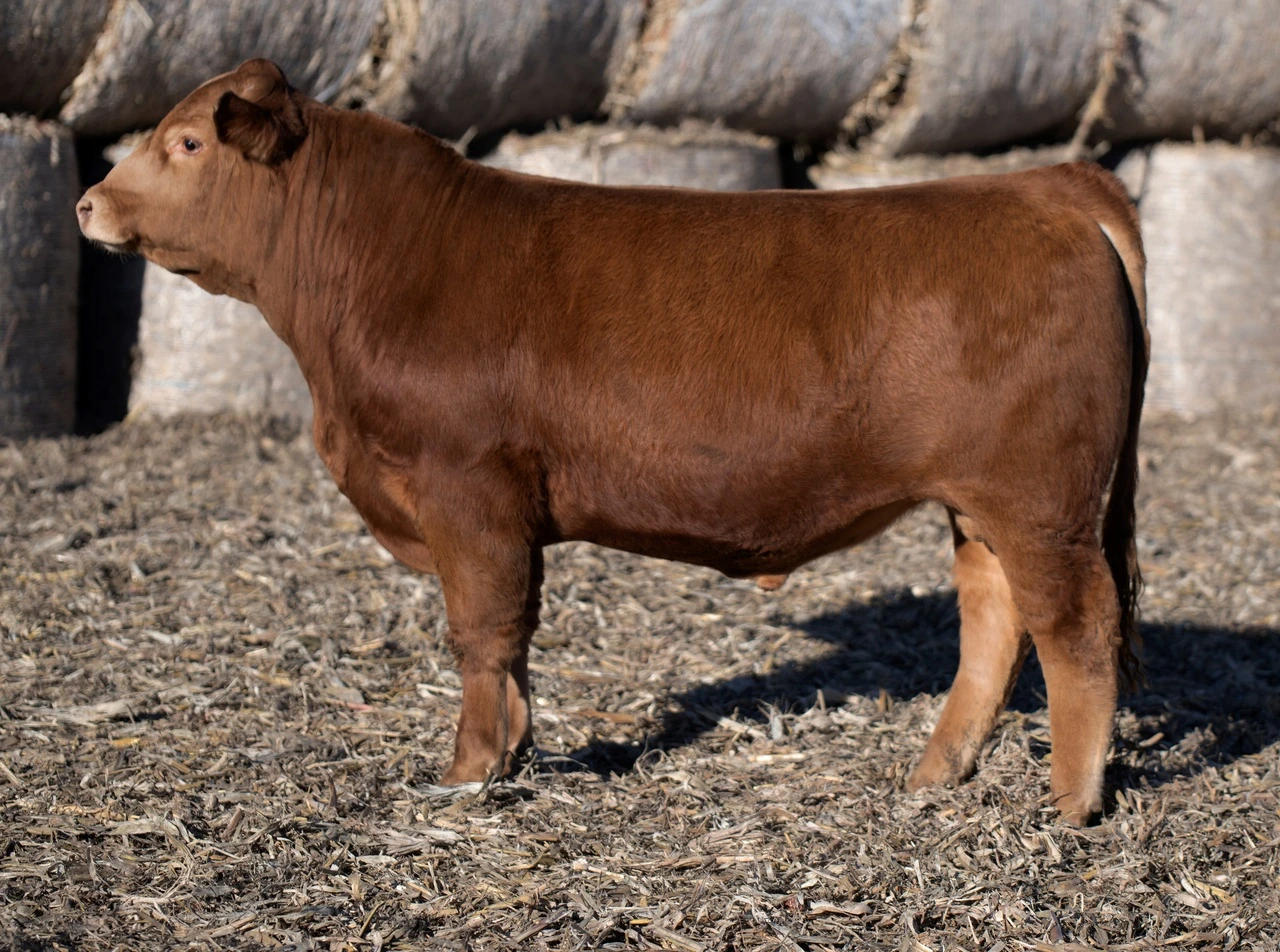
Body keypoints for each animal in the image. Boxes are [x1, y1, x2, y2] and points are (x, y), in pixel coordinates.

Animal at [77, 60, 1148, 825]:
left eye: (183, 141)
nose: (89, 202)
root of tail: (1046, 183)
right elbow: (510, 640)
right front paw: (510, 758)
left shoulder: (469, 493)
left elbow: (482, 632)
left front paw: (468, 772)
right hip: (981, 504)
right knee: (995, 619)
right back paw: (933, 777)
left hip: (1040, 499)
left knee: (1076, 625)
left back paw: (1069, 804)